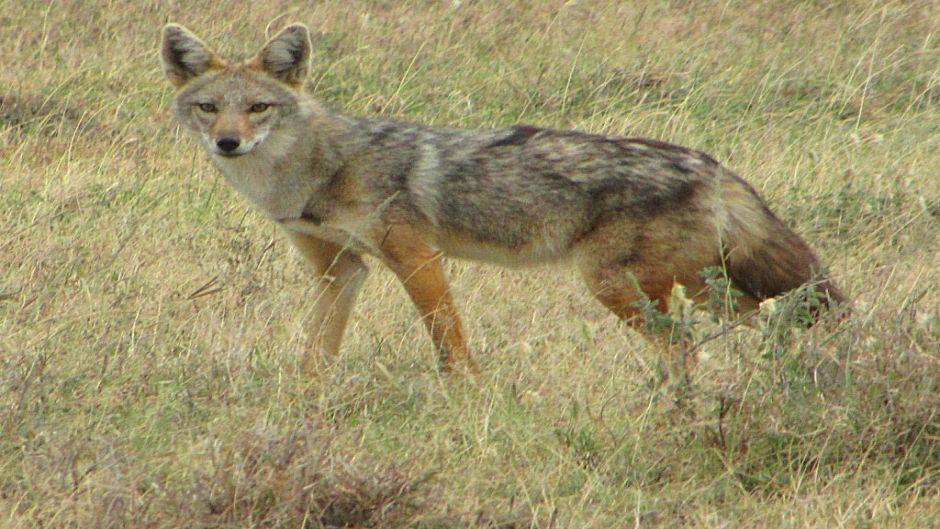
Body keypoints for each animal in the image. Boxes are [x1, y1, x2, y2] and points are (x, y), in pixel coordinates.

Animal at [160, 23, 846, 375]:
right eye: (209, 107)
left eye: (259, 108)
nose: (227, 143)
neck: (316, 170)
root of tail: (710, 163)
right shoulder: (340, 271)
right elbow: (315, 356)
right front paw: (308, 412)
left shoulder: (418, 259)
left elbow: (451, 346)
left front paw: (464, 398)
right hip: (705, 288)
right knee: (767, 324)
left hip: (620, 286)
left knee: (688, 348)